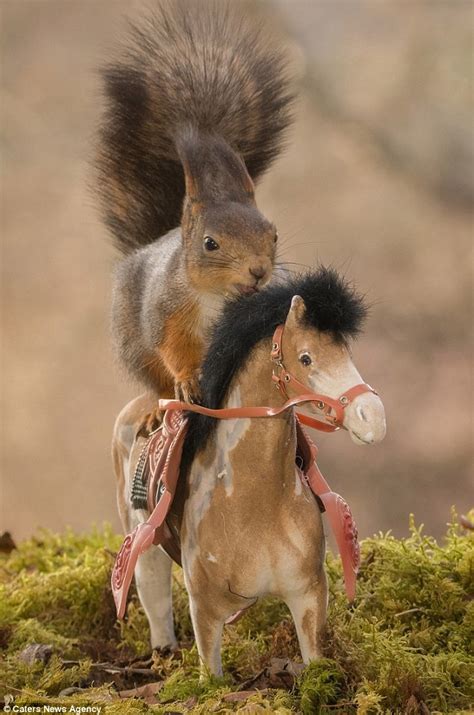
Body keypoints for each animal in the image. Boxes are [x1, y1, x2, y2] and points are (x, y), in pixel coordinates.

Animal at [112, 267, 386, 675]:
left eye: (346, 353)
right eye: (306, 358)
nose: (374, 419)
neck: (254, 501)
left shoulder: (308, 596)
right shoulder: (206, 611)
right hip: (142, 536)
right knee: (152, 590)